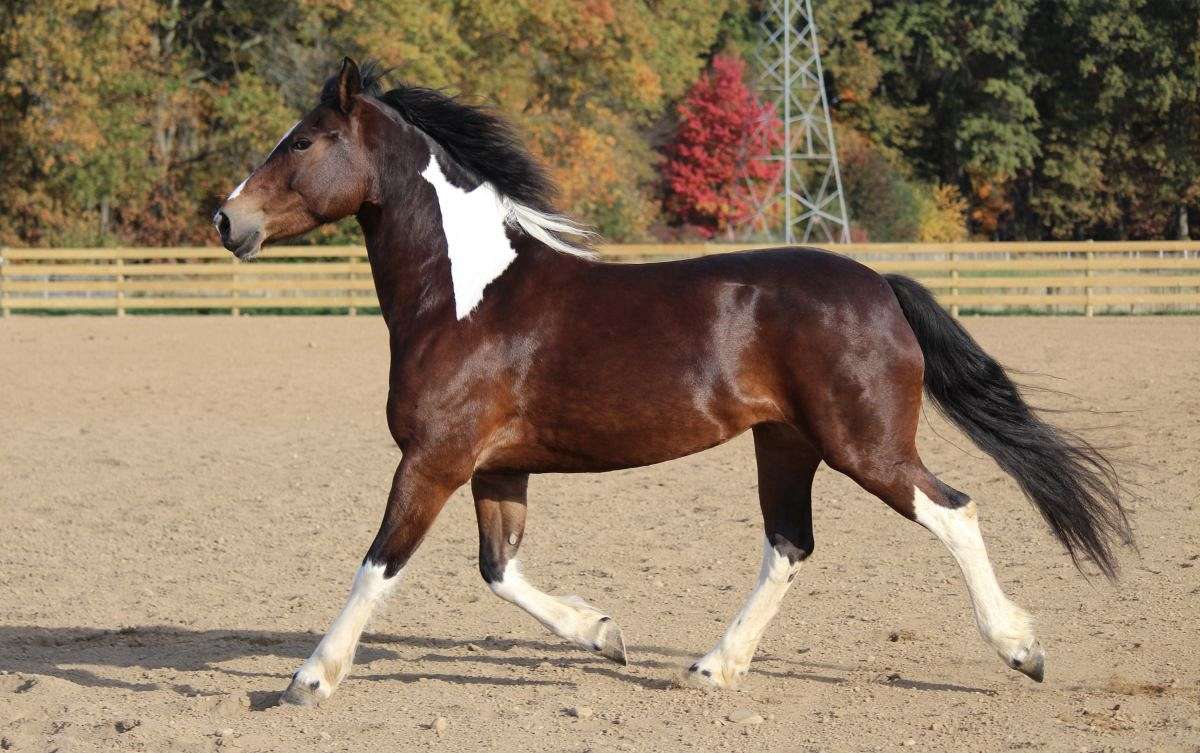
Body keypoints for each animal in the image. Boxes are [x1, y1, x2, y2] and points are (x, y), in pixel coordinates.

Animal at [213, 58, 1131, 707]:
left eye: (302, 141)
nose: (228, 219)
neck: (467, 295)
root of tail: (879, 283)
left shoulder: (433, 459)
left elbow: (378, 565)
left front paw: (309, 679)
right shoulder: (496, 467)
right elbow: (499, 569)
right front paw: (603, 632)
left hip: (864, 445)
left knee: (953, 511)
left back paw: (1021, 648)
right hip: (786, 443)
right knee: (789, 545)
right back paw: (713, 667)